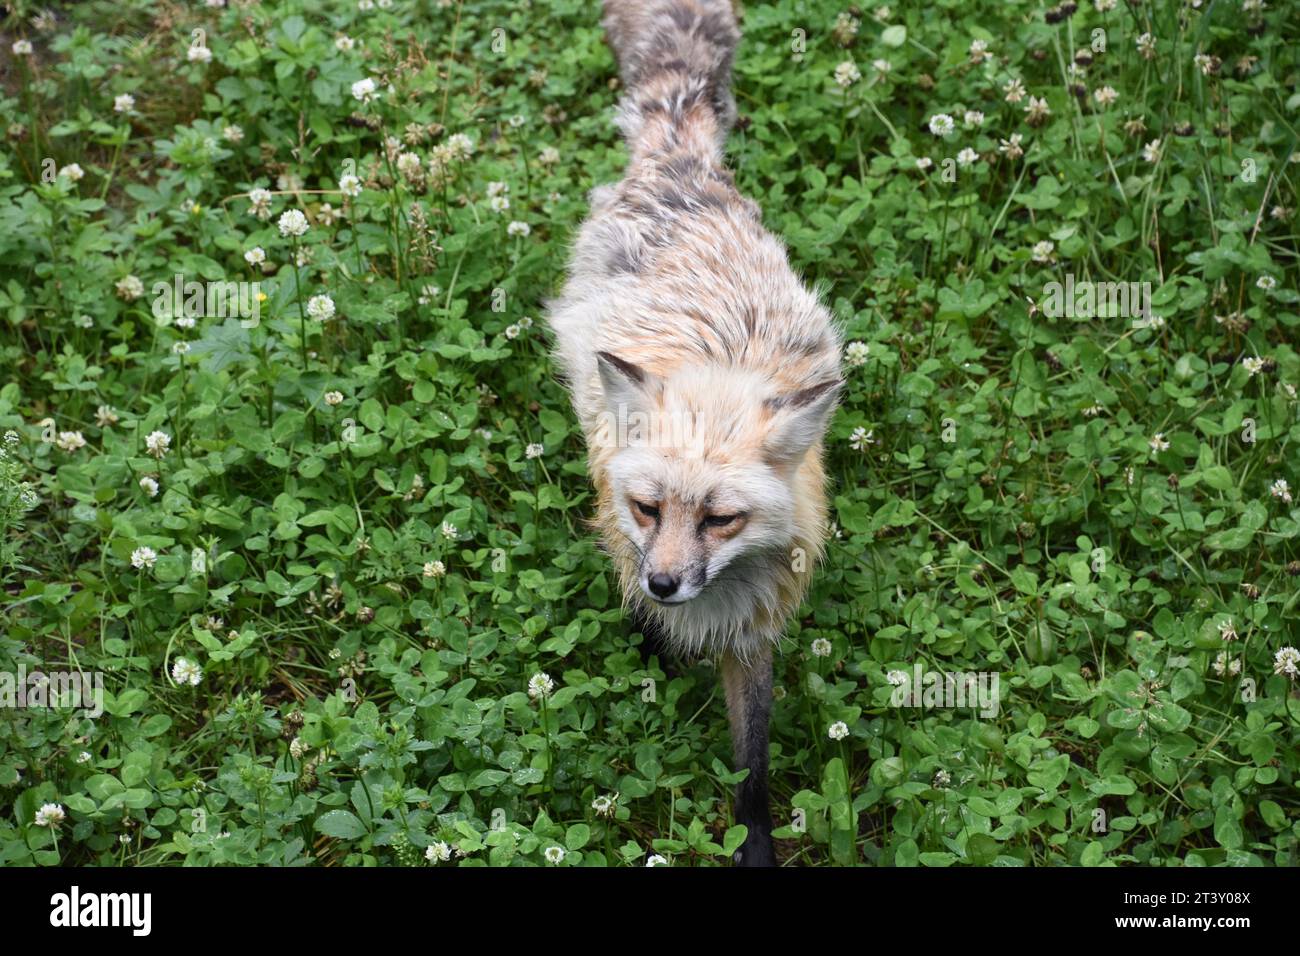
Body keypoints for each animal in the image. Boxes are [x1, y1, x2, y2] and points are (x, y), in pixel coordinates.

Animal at [546, 0, 843, 867]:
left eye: (721, 518)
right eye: (648, 508)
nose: (664, 585)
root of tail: (680, 166)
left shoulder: (756, 634)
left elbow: (753, 769)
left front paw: (755, 849)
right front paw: (649, 640)